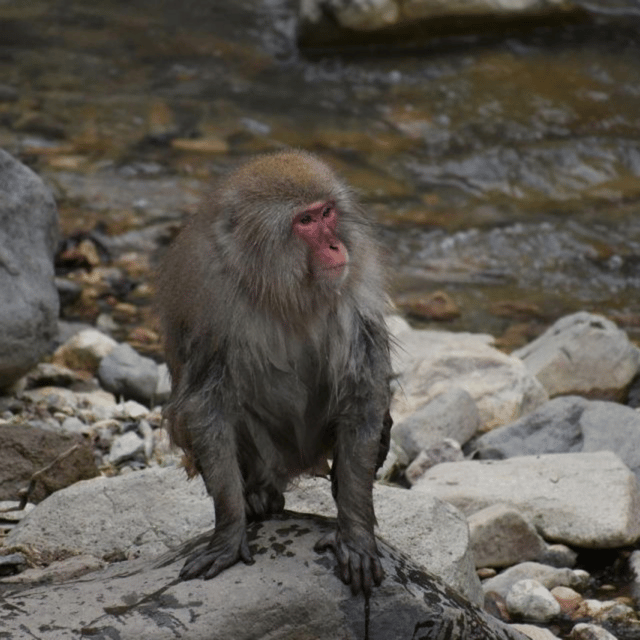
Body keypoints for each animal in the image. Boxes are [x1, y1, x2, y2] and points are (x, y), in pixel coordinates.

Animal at [156, 149, 392, 595]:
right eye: (306, 221)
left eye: (327, 213)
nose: (335, 245)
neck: (280, 289)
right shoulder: (211, 307)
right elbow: (206, 408)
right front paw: (229, 531)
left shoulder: (354, 291)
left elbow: (362, 395)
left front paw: (355, 535)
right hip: (270, 456)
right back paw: (256, 497)